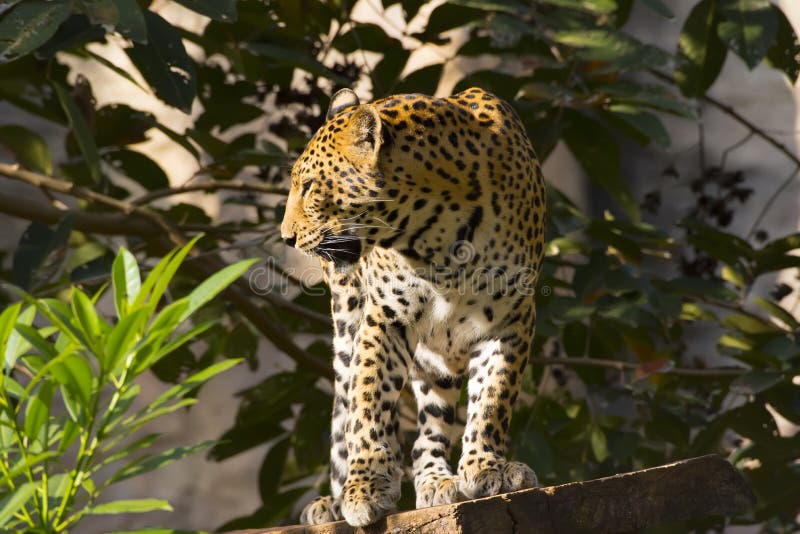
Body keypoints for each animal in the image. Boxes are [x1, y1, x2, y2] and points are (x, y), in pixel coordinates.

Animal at [280, 87, 546, 527]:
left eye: (310, 185)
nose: (286, 237)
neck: (434, 234)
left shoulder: (512, 317)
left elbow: (493, 398)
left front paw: (487, 466)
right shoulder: (384, 318)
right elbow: (367, 405)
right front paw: (365, 486)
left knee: (427, 435)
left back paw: (437, 480)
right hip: (348, 325)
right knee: (348, 404)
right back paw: (335, 500)